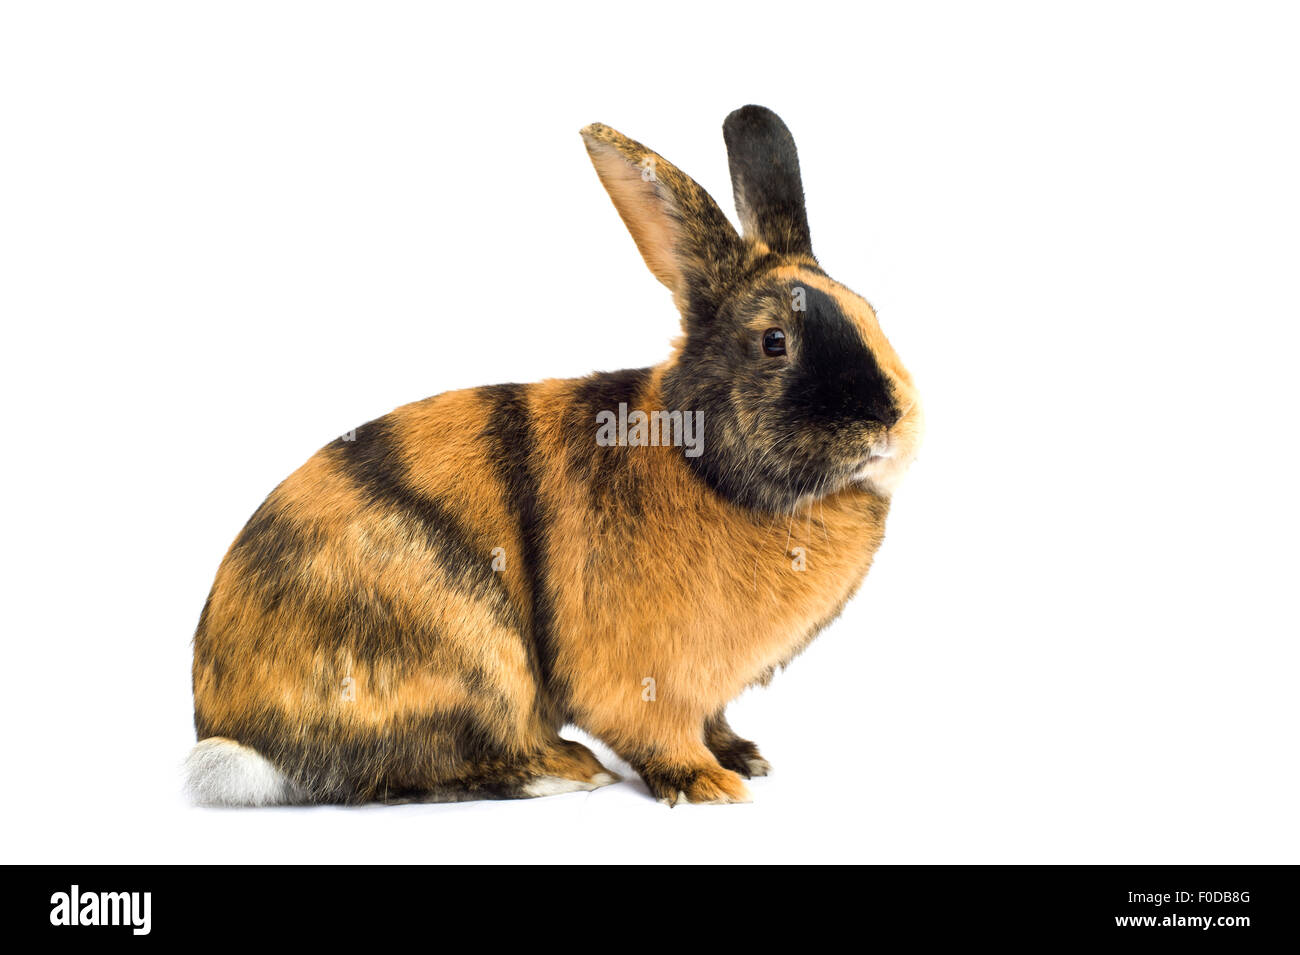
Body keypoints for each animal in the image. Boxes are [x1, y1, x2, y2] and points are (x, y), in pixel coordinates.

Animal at [187, 105, 923, 807]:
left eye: (871, 314)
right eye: (774, 342)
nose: (892, 420)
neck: (704, 465)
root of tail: (240, 736)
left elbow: (712, 720)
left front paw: (743, 756)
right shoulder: (645, 677)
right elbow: (659, 732)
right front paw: (707, 783)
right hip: (469, 663)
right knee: (405, 769)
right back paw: (563, 770)